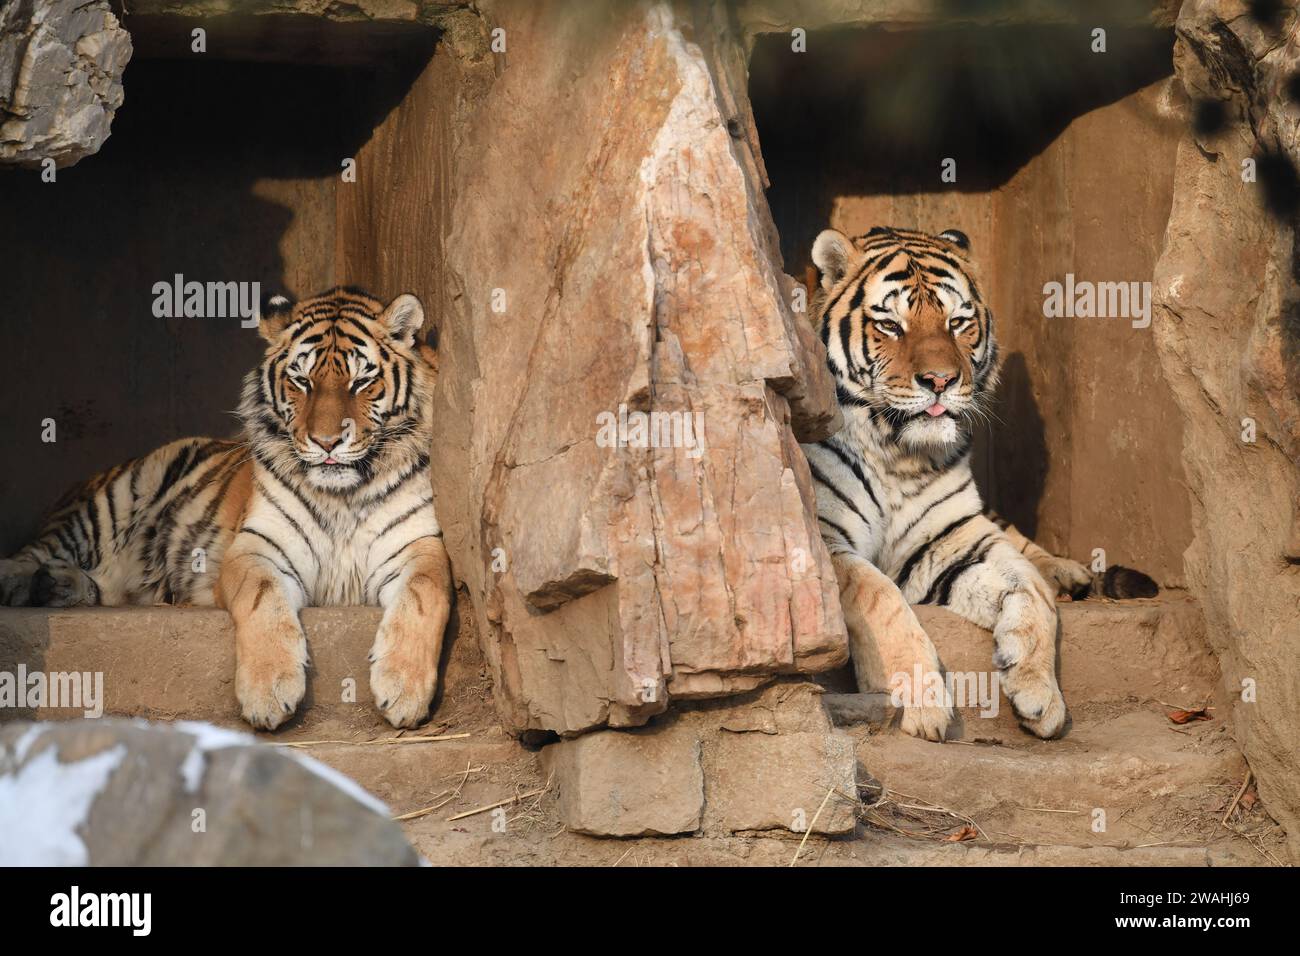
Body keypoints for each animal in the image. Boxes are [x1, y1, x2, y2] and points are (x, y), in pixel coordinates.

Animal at [0, 287, 452, 732]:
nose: (326, 442)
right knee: (36, 550)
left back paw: (57, 586)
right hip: (113, 500)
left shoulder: (419, 546)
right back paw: (20, 581)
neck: (341, 496)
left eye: (362, 381)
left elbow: (425, 594)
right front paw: (269, 690)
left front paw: (403, 688)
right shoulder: (256, 547)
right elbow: (262, 597)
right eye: (301, 381)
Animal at [802, 225, 1153, 742]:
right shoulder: (824, 539)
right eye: (890, 325)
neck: (898, 454)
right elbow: (877, 593)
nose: (940, 381)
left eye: (957, 322)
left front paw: (1039, 694)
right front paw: (921, 705)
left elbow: (1030, 589)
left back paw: (1069, 573)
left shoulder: (953, 537)